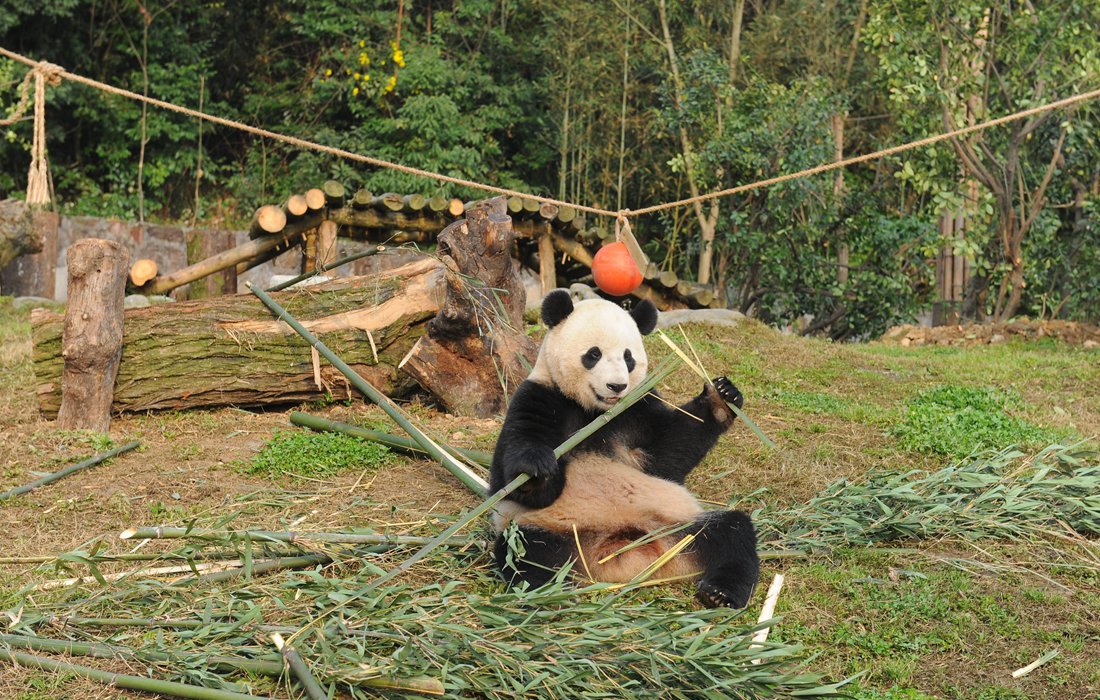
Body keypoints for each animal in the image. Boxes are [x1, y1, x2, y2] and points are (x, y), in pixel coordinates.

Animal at [490, 289, 760, 608]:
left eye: (628, 357)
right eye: (593, 354)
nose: (616, 386)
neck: (596, 412)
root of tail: (625, 555)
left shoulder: (638, 407)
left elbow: (668, 455)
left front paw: (721, 398)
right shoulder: (540, 396)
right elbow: (509, 475)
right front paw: (537, 468)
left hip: (678, 530)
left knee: (733, 533)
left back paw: (720, 594)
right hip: (548, 530)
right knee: (526, 553)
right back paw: (550, 593)